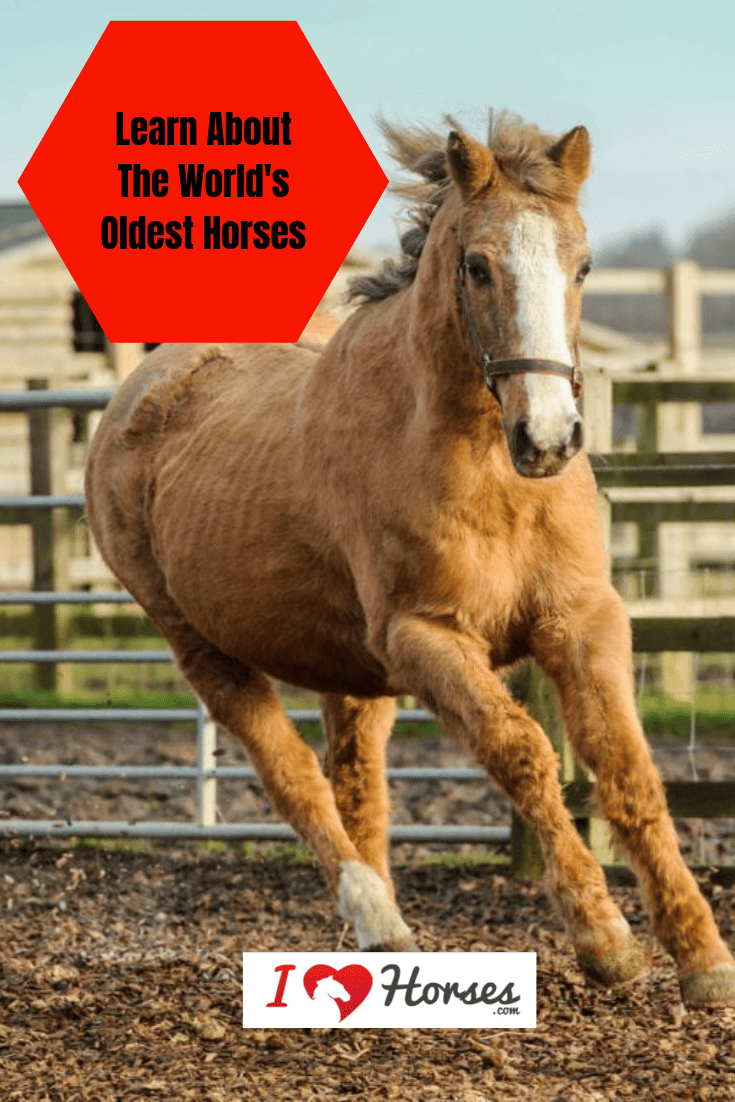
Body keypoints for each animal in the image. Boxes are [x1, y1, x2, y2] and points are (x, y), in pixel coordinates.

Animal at [85, 111, 735, 1008]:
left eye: (582, 264)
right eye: (477, 266)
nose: (549, 439)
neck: (485, 467)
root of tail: (139, 393)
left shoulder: (580, 619)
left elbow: (625, 766)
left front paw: (703, 958)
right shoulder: (426, 637)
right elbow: (523, 755)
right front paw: (605, 942)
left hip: (348, 673)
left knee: (356, 779)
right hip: (202, 648)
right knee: (291, 773)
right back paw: (372, 913)